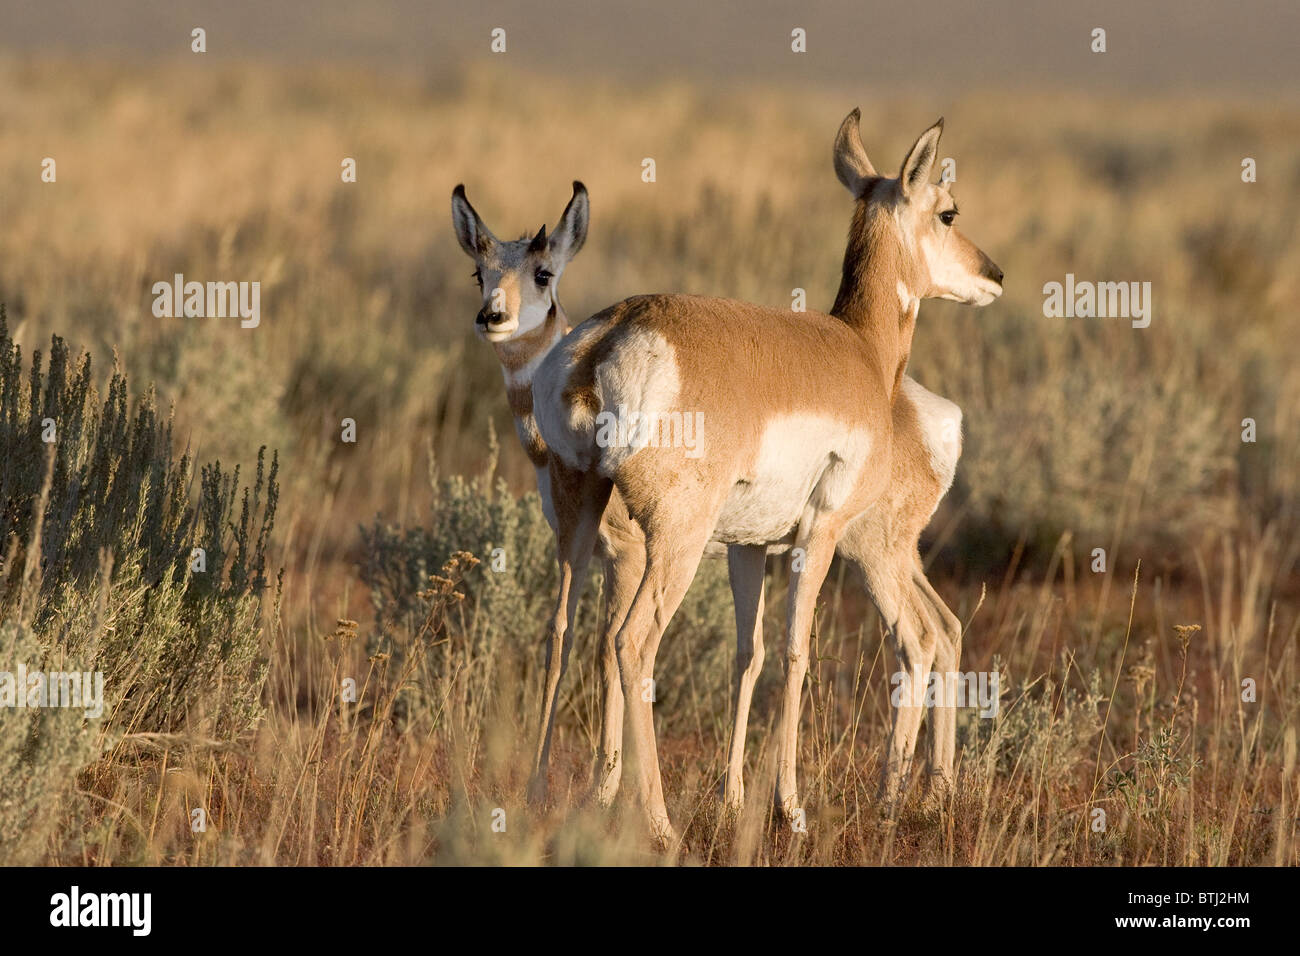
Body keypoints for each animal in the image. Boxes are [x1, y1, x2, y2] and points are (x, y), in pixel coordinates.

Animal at [531, 111, 1004, 841]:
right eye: (948, 210)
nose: (995, 274)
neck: (859, 349)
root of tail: (608, 337)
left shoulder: (749, 548)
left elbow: (747, 654)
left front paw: (735, 801)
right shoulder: (822, 535)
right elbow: (795, 651)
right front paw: (793, 807)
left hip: (580, 521)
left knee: (559, 631)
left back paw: (536, 796)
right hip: (683, 543)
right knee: (632, 645)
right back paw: (663, 824)